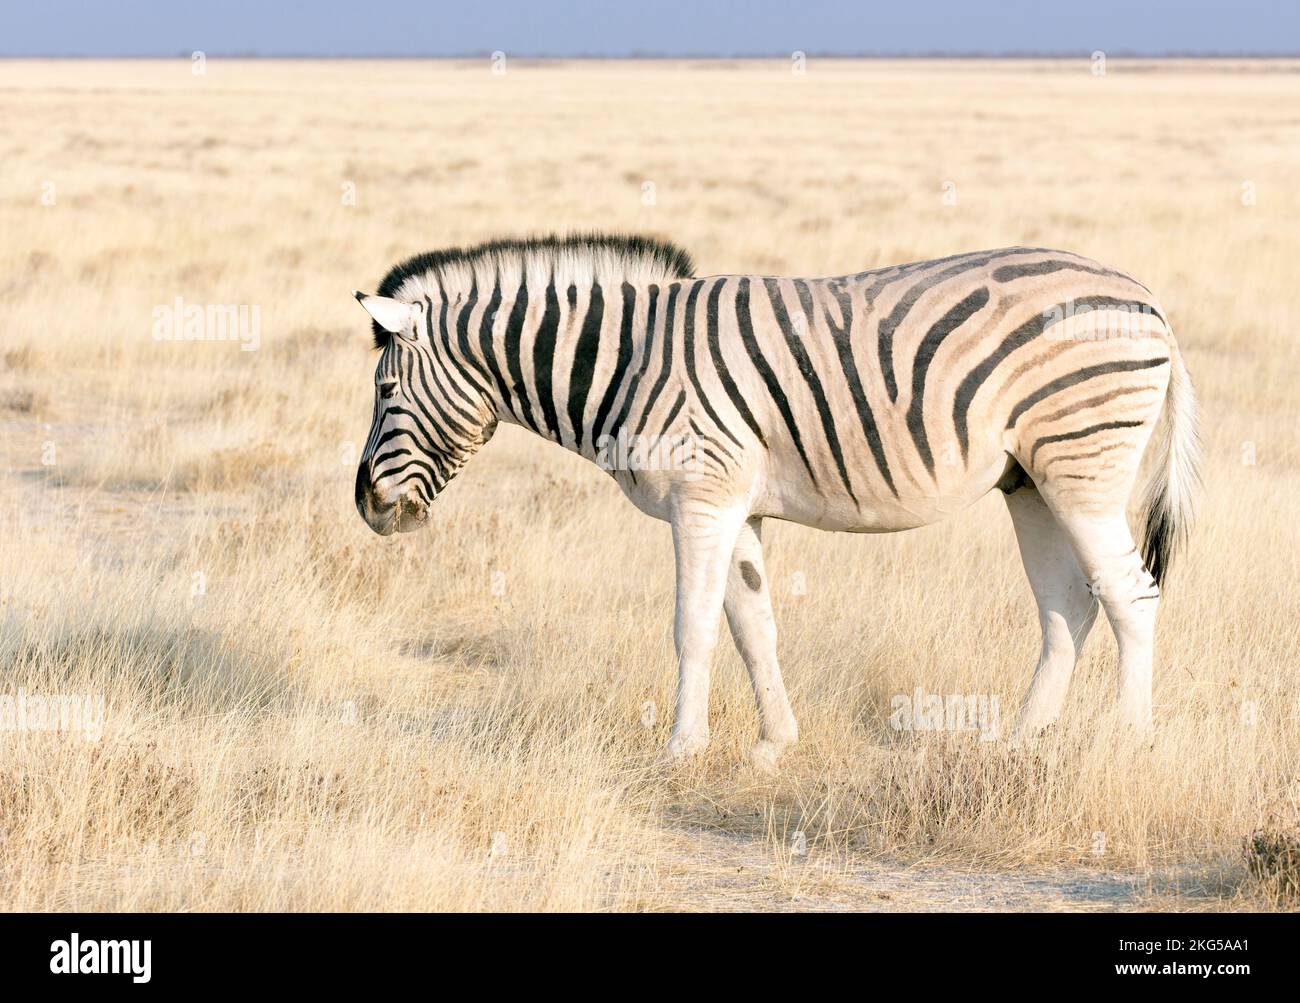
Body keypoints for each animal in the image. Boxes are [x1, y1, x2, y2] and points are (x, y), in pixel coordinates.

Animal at [352, 234, 1200, 767]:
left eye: (386, 392)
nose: (366, 505)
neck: (628, 360)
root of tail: (1151, 302)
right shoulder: (738, 505)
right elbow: (753, 623)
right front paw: (773, 743)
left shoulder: (703, 497)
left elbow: (693, 626)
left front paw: (680, 748)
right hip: (1030, 480)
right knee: (1068, 605)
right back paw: (1022, 740)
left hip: (1084, 465)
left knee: (1130, 595)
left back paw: (1126, 742)